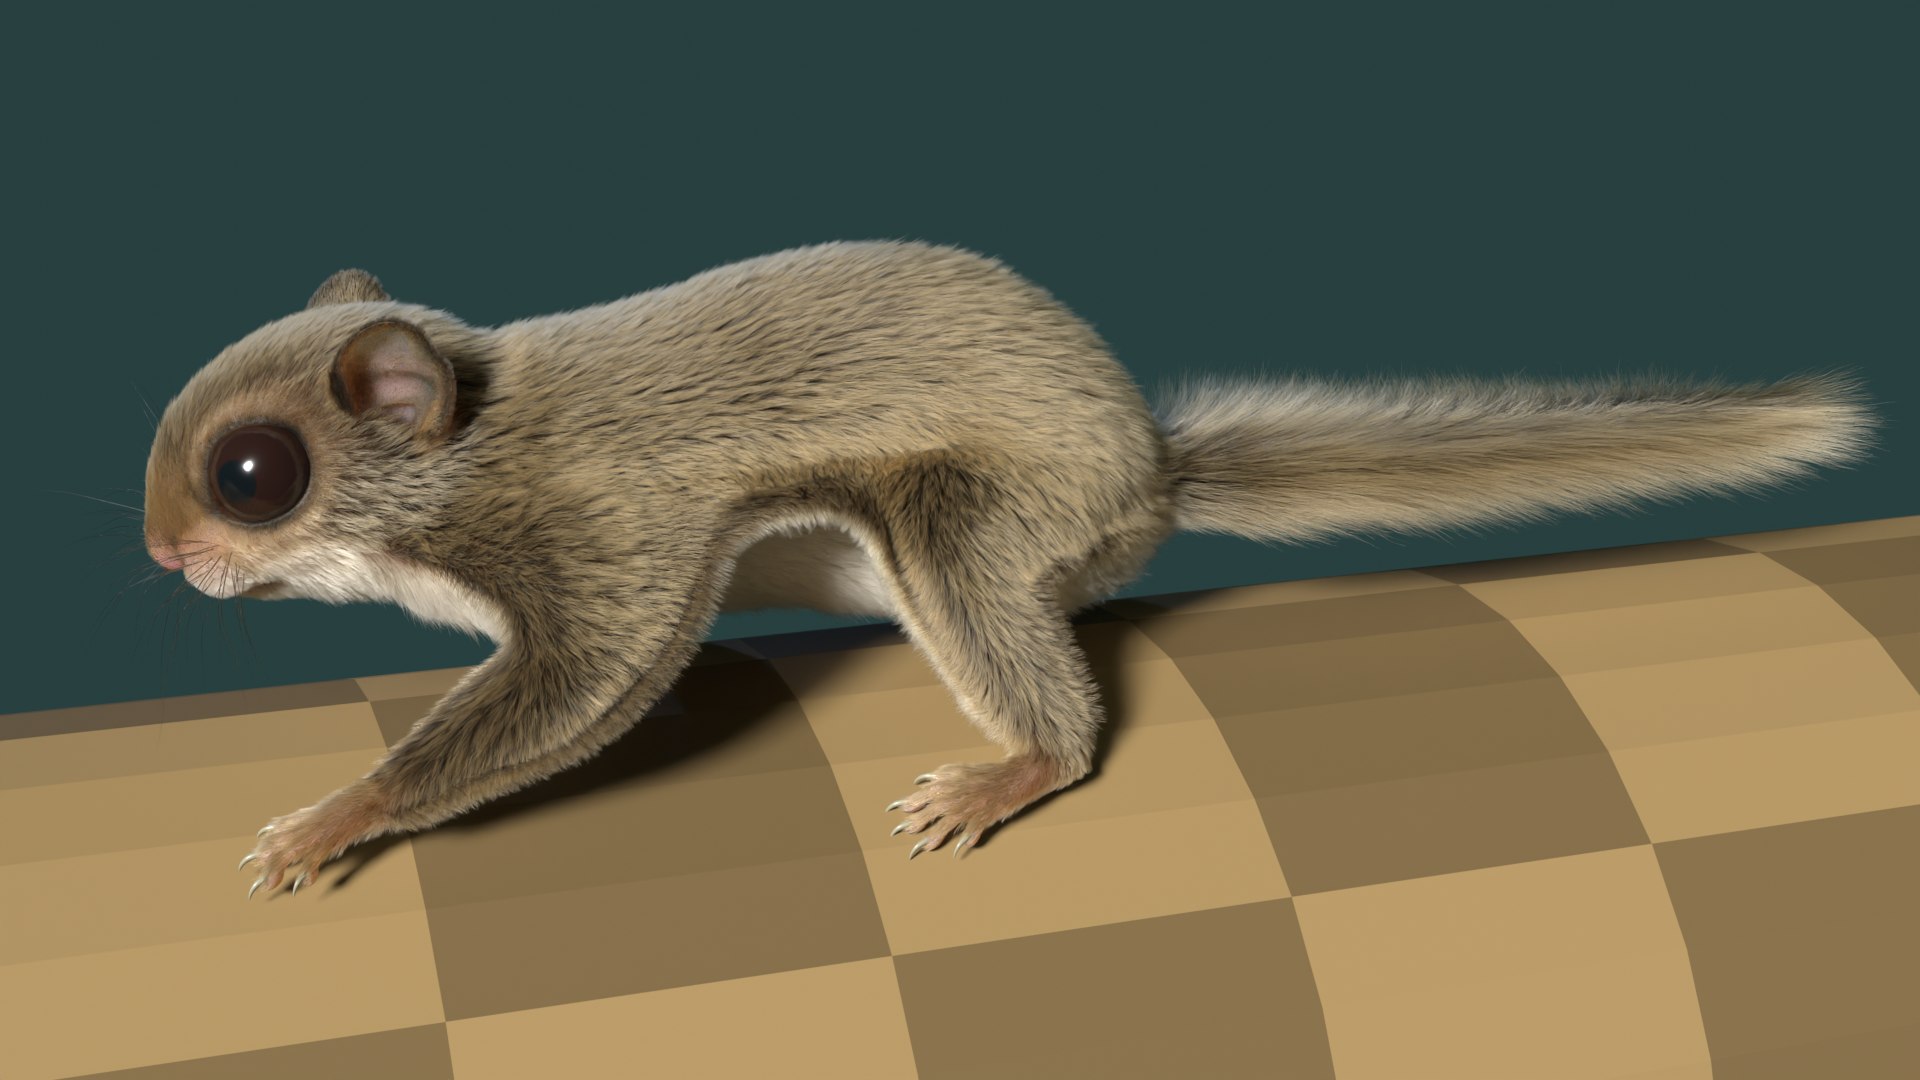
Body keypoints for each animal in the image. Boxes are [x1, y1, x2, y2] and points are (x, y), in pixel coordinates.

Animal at [139, 240, 1877, 896]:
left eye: (254, 473)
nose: (158, 550)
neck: (471, 441)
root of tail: (1148, 465)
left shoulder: (596, 528)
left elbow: (583, 675)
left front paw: (334, 819)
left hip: (961, 523)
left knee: (1056, 698)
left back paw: (1013, 770)